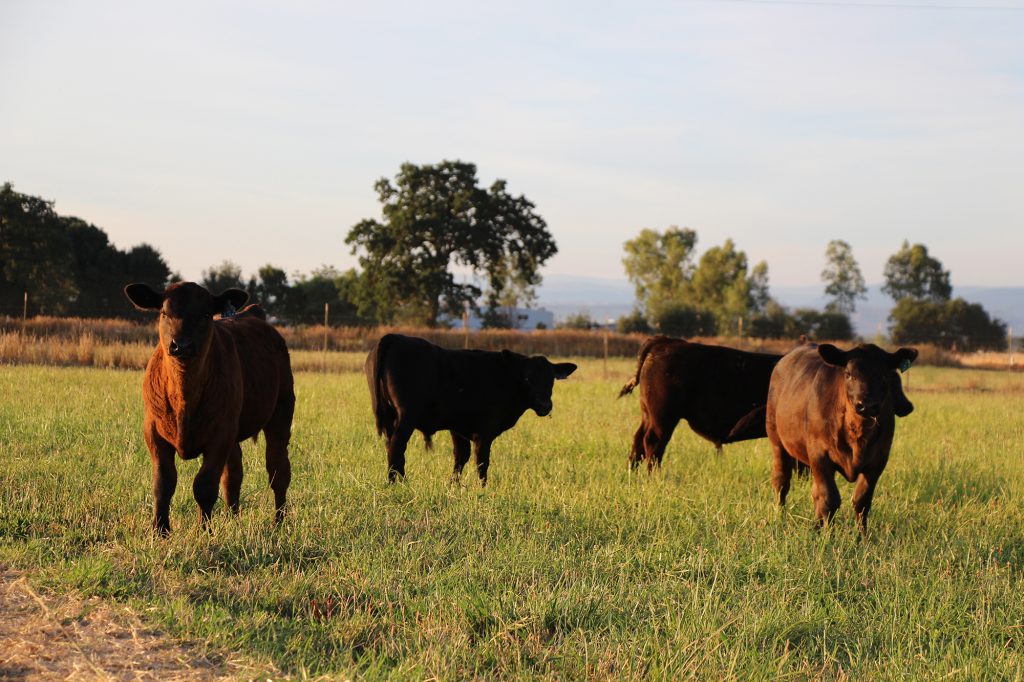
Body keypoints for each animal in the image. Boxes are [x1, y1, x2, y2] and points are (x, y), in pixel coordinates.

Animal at [124, 282, 295, 535]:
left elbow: (204, 486)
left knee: (278, 469)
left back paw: (278, 522)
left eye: (205, 315)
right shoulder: (153, 431)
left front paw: (204, 530)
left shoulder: (219, 435)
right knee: (233, 474)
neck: (184, 397)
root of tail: (252, 313)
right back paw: (232, 519)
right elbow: (163, 483)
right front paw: (160, 529)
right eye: (164, 313)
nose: (182, 345)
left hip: (281, 412)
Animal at [365, 333, 577, 485]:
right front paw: (483, 487)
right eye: (526, 379)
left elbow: (461, 456)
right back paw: (398, 483)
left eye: (551, 379)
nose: (544, 405)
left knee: (391, 447)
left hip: (389, 415)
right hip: (406, 416)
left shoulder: (458, 427)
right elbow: (482, 461)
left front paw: (454, 485)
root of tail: (395, 337)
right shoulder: (485, 429)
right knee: (396, 447)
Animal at [618, 335, 913, 473]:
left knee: (637, 442)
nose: (908, 407)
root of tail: (666, 341)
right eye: (893, 379)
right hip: (662, 417)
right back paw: (653, 477)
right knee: (653, 445)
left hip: (649, 414)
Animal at [765, 342, 917, 533]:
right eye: (848, 374)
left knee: (815, 492)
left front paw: (861, 536)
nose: (866, 405)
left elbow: (861, 501)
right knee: (781, 482)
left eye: (884, 375)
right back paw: (781, 518)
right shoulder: (819, 454)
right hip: (777, 441)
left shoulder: (879, 458)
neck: (858, 434)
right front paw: (826, 536)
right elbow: (829, 499)